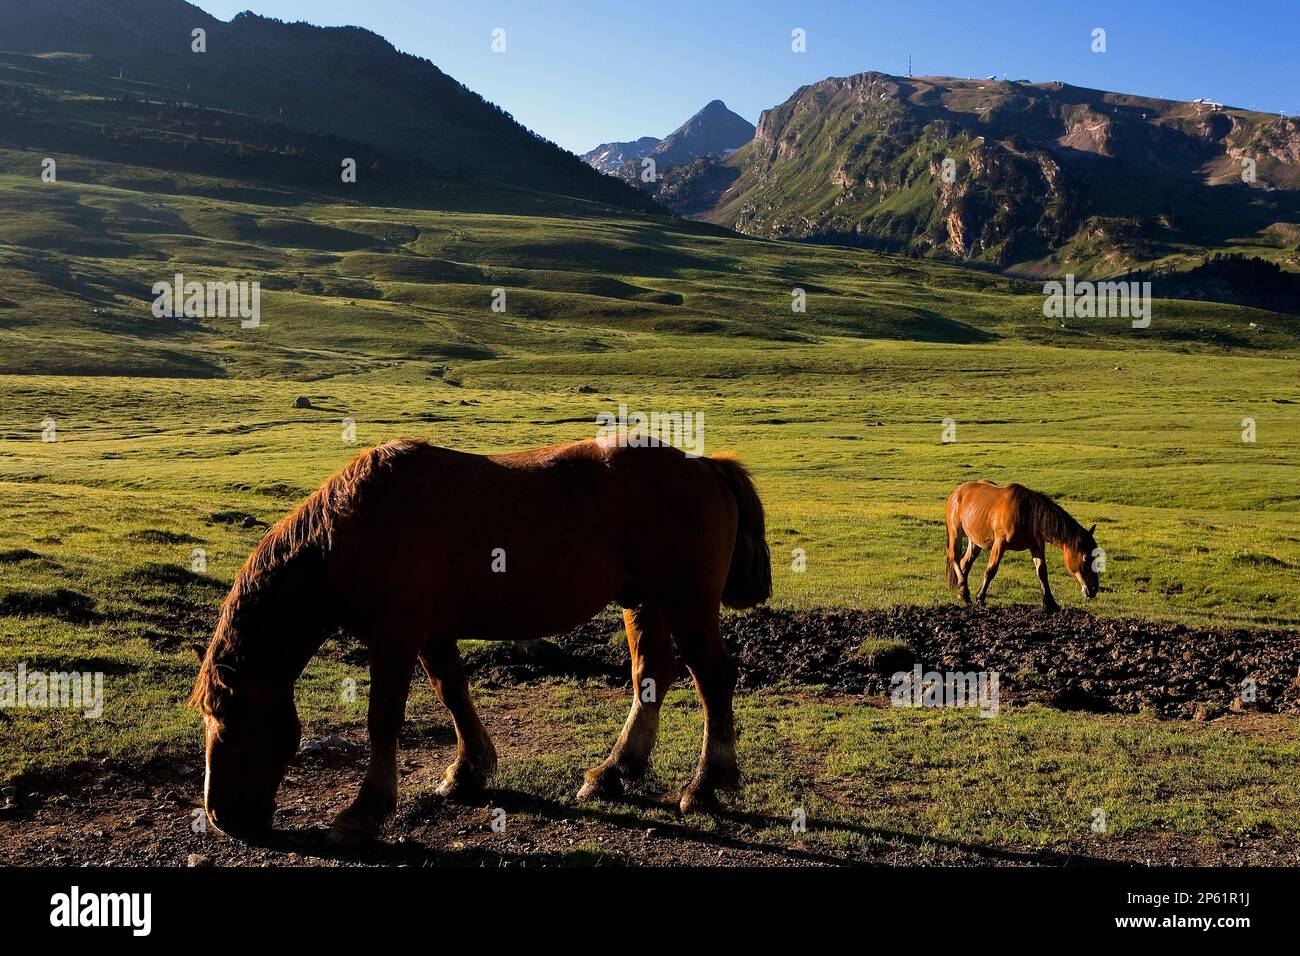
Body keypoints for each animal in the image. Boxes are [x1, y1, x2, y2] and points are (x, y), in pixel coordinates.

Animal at [189, 436, 771, 844]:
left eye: (230, 721)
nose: (221, 818)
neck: (351, 529)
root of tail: (705, 465)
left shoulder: (396, 634)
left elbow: (383, 718)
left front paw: (366, 810)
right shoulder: (432, 632)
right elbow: (453, 693)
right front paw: (468, 771)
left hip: (685, 602)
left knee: (712, 679)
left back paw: (706, 784)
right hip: (644, 601)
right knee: (652, 674)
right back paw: (613, 773)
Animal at [945, 480, 1099, 613]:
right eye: (1085, 558)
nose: (1094, 589)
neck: (1026, 514)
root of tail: (957, 492)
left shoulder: (1036, 545)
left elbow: (1042, 572)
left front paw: (1050, 602)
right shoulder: (1000, 543)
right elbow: (991, 570)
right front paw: (980, 598)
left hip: (976, 541)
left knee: (965, 562)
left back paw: (962, 592)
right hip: (956, 533)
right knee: (954, 557)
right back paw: (965, 592)